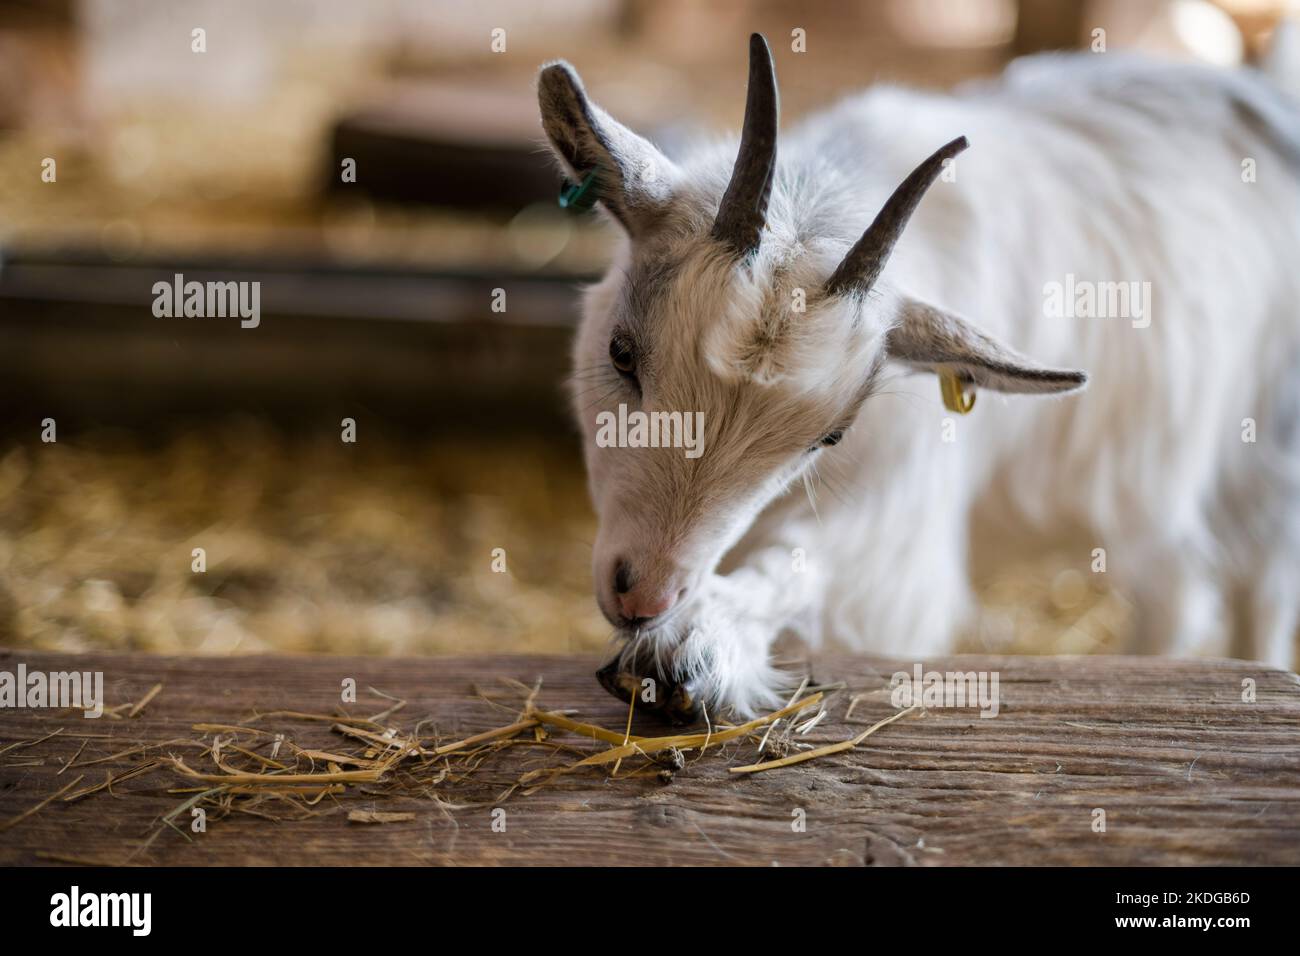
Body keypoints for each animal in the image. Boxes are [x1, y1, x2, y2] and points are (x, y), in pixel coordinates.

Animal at [537, 32, 1300, 721]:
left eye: (830, 438)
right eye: (622, 354)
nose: (644, 597)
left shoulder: (897, 520)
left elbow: (814, 570)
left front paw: (698, 646)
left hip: (1260, 460)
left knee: (1242, 584)